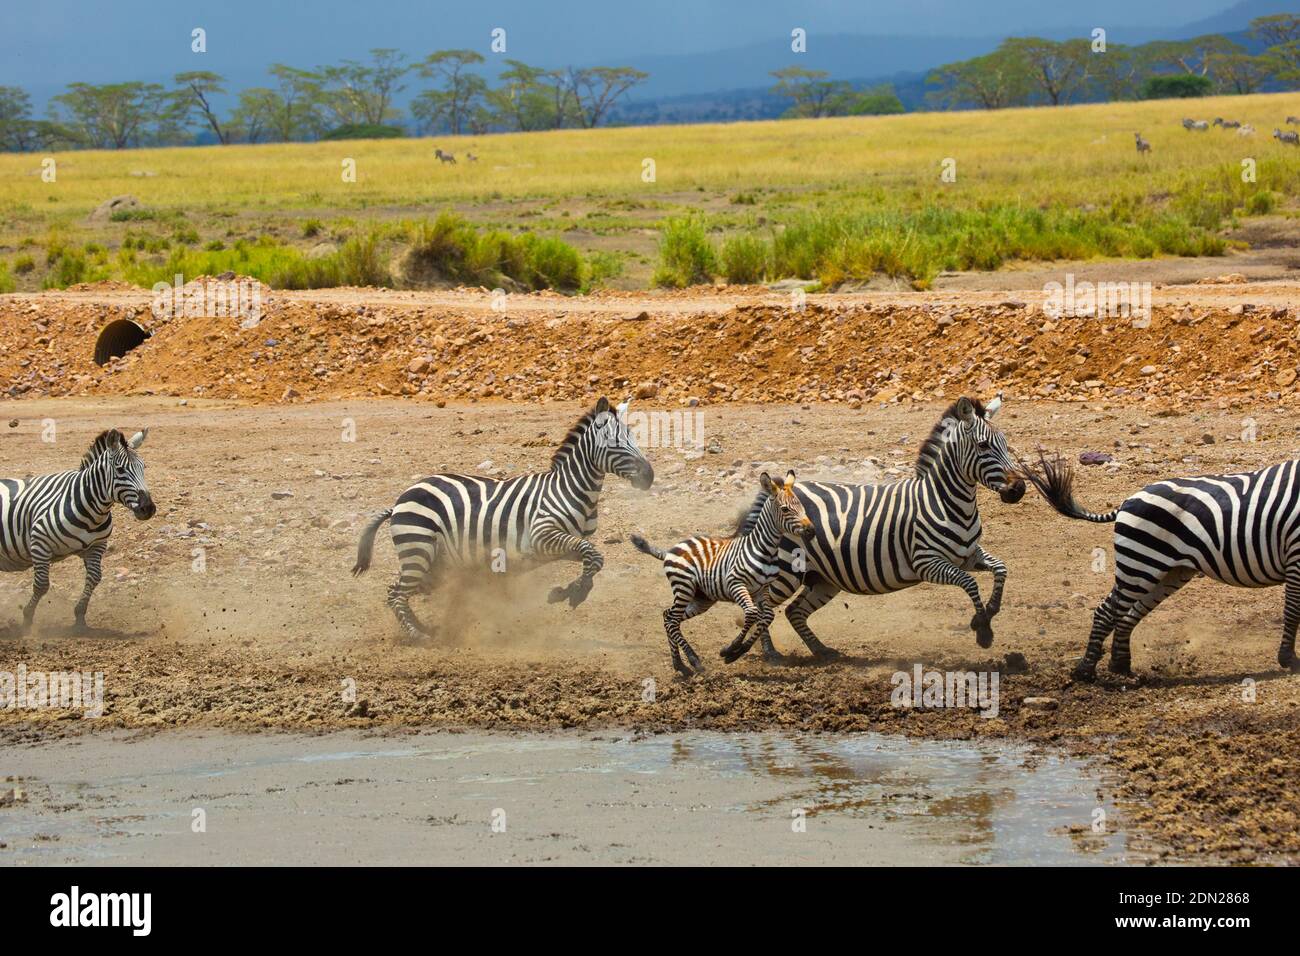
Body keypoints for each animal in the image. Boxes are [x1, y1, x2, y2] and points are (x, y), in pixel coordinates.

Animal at [0, 429, 155, 634]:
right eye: (120, 470)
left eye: (143, 467)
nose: (148, 508)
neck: (91, 508)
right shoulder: (39, 543)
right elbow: (41, 585)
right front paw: (27, 619)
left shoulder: (97, 546)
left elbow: (94, 577)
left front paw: (80, 617)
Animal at [352, 397, 654, 641]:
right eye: (615, 442)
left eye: (633, 436)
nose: (649, 476)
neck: (568, 488)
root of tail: (398, 501)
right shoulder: (542, 535)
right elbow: (592, 553)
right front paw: (576, 592)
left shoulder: (560, 545)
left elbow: (594, 558)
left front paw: (570, 590)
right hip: (418, 551)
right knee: (397, 594)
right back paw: (418, 636)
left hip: (436, 564)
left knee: (394, 590)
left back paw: (423, 629)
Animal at [631, 471, 813, 677]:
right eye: (785, 509)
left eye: (801, 506)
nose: (811, 530)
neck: (763, 549)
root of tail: (669, 551)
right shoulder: (736, 584)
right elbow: (751, 613)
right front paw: (730, 649)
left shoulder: (762, 589)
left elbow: (767, 616)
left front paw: (737, 652)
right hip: (684, 588)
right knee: (671, 620)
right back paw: (694, 661)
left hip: (701, 599)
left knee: (668, 616)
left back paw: (680, 665)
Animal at [720, 396, 1026, 664]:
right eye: (983, 446)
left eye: (1005, 444)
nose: (1019, 489)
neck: (944, 501)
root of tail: (779, 490)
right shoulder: (927, 562)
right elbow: (970, 582)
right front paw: (983, 629)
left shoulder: (968, 555)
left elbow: (1001, 568)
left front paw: (990, 611)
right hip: (787, 572)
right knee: (763, 606)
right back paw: (770, 653)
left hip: (823, 578)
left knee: (795, 611)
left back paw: (822, 651)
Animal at [1025, 452, 1300, 681]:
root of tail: (1127, 500)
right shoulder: (1295, 555)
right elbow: (1293, 610)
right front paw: (1289, 660)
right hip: (1140, 565)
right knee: (1107, 612)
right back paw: (1084, 671)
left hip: (1167, 571)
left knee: (1127, 615)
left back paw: (1120, 666)